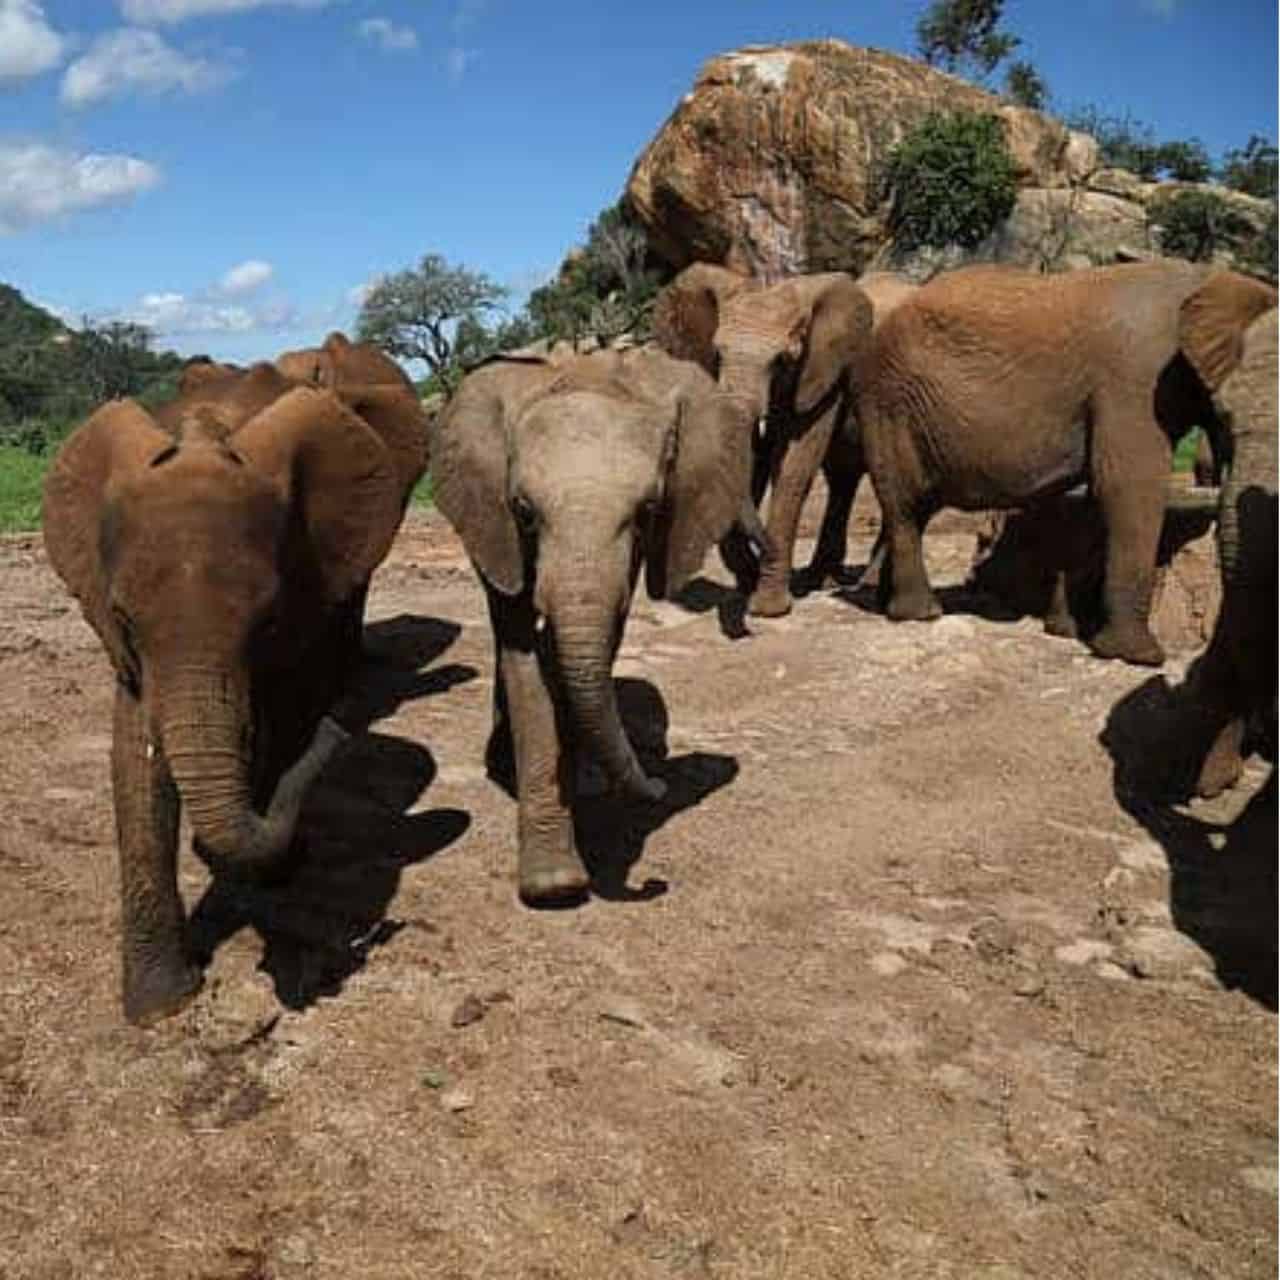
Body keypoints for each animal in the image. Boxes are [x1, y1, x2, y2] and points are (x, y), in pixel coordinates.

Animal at [42, 356, 426, 1025]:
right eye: (123, 621)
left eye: (266, 621)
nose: (338, 734)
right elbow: (134, 757)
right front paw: (160, 1006)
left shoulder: (308, 581)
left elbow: (287, 708)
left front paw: (271, 870)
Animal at [431, 345, 752, 904]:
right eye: (523, 511)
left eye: (648, 511)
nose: (658, 786)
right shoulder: (495, 518)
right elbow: (522, 647)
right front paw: (555, 886)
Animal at [651, 264, 878, 617]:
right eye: (717, 354)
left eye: (781, 361)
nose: (763, 561)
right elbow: (752, 461)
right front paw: (748, 586)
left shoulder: (823, 371)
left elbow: (794, 462)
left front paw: (768, 607)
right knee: (844, 477)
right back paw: (819, 580)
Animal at [859, 260, 1277, 666]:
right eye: (1225, 414)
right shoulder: (1135, 378)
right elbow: (1127, 486)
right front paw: (1138, 657)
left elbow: (1100, 497)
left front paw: (1066, 630)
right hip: (891, 403)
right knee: (905, 505)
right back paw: (919, 613)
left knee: (916, 506)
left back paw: (883, 601)